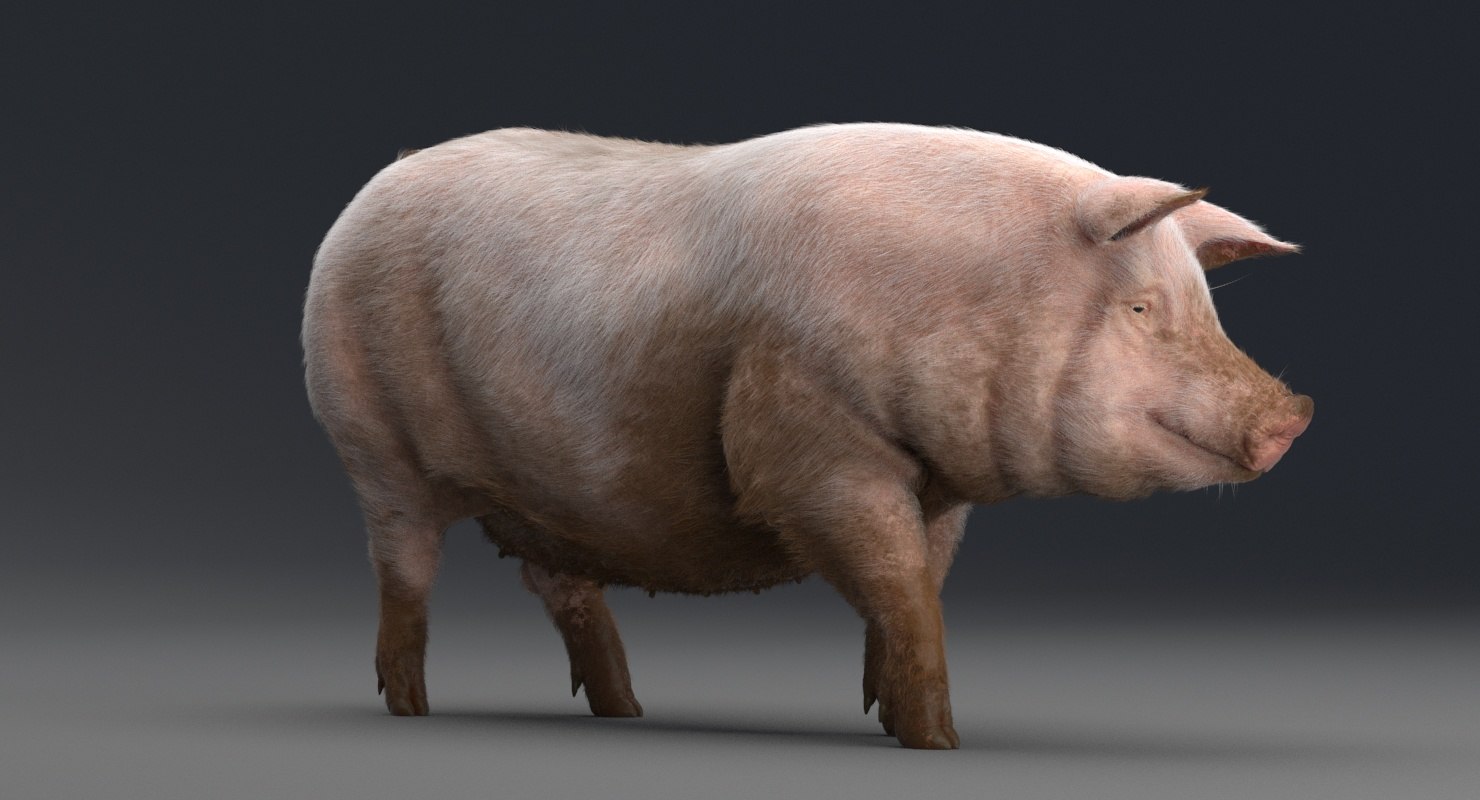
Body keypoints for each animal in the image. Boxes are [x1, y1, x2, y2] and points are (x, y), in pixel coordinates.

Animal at [301, 123, 1312, 749]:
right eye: (1140, 308)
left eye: (1207, 307)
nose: (1293, 416)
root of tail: (368, 192)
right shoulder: (814, 449)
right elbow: (902, 590)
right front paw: (940, 742)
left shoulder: (938, 482)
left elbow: (917, 582)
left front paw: (882, 717)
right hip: (369, 439)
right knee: (404, 569)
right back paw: (413, 709)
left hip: (549, 495)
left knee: (563, 588)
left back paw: (627, 713)